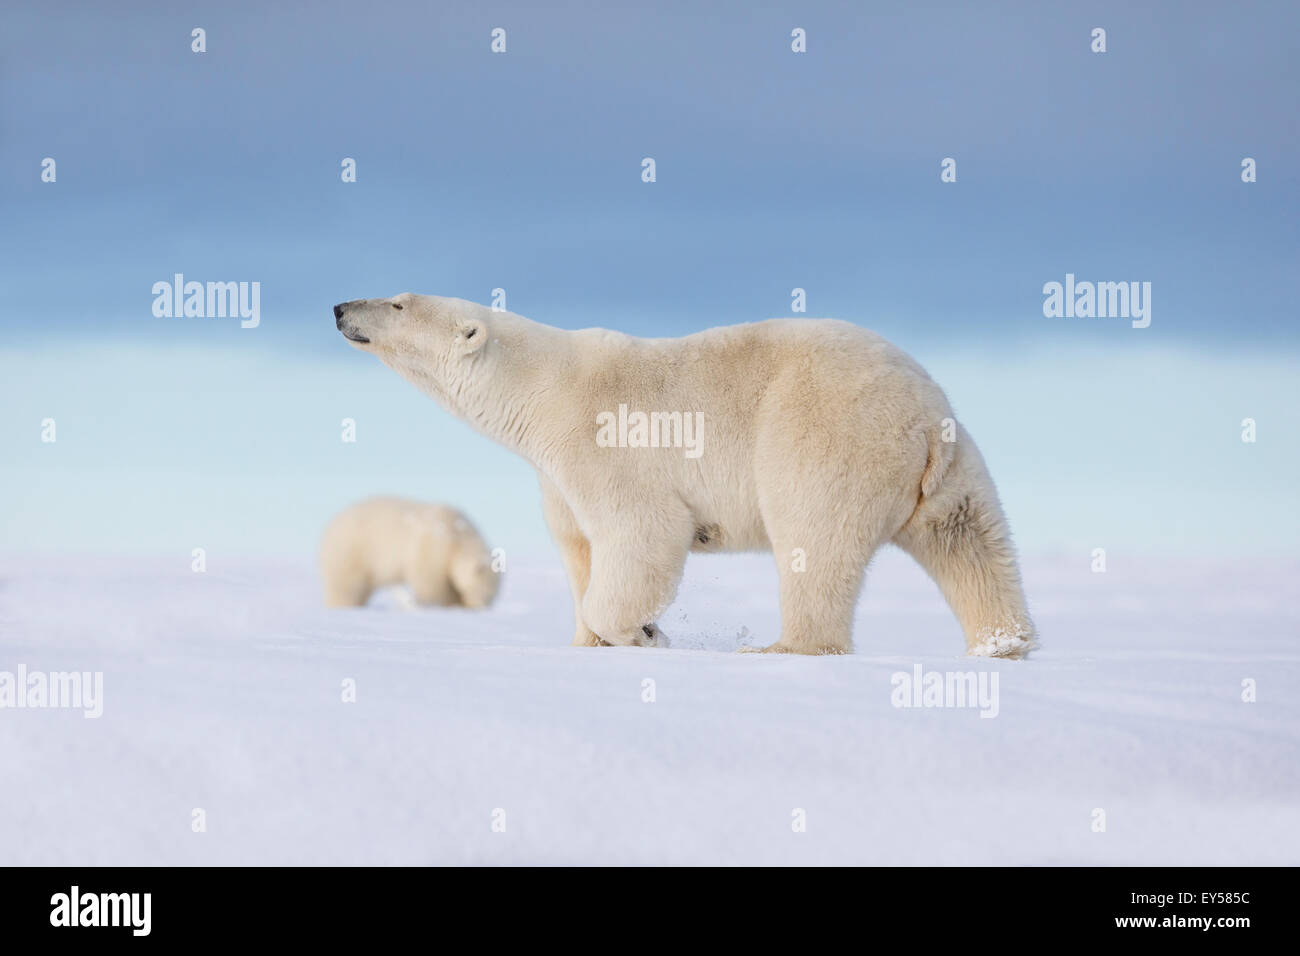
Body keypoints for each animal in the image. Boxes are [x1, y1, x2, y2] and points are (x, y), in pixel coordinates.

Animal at [319, 496, 499, 610]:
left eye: (492, 597)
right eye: (483, 592)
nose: (481, 608)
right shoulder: (432, 548)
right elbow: (431, 583)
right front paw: (453, 602)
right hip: (351, 552)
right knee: (347, 587)